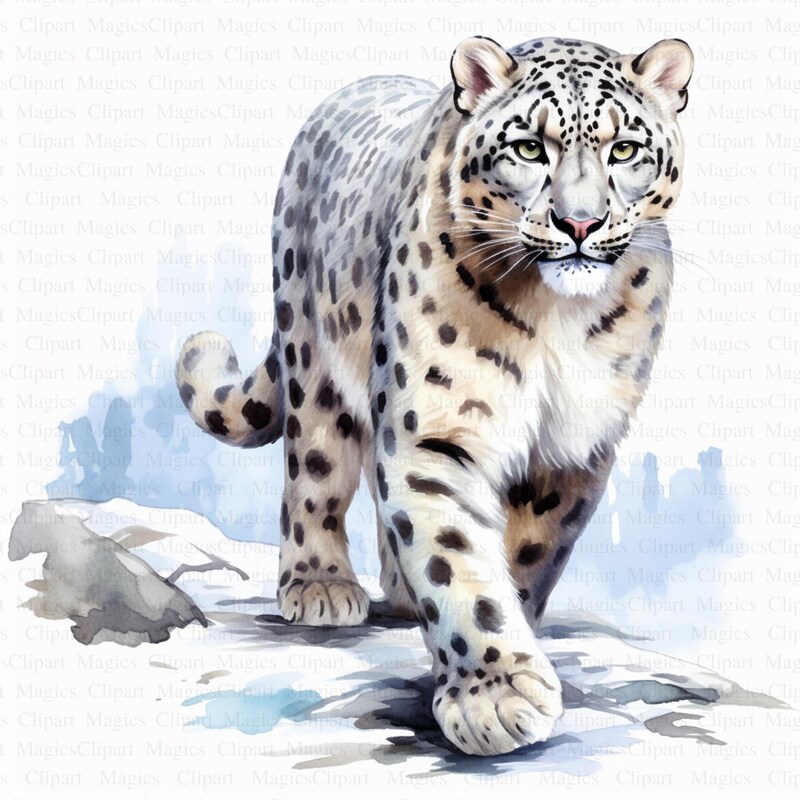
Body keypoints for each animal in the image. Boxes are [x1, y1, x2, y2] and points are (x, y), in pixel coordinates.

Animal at [175, 35, 693, 756]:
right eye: (528, 148)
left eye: (624, 149)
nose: (580, 222)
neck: (557, 319)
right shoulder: (433, 429)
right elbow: (454, 555)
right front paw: (495, 697)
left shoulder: (573, 446)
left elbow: (526, 553)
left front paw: (509, 646)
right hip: (314, 364)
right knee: (316, 476)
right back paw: (320, 586)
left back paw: (394, 590)